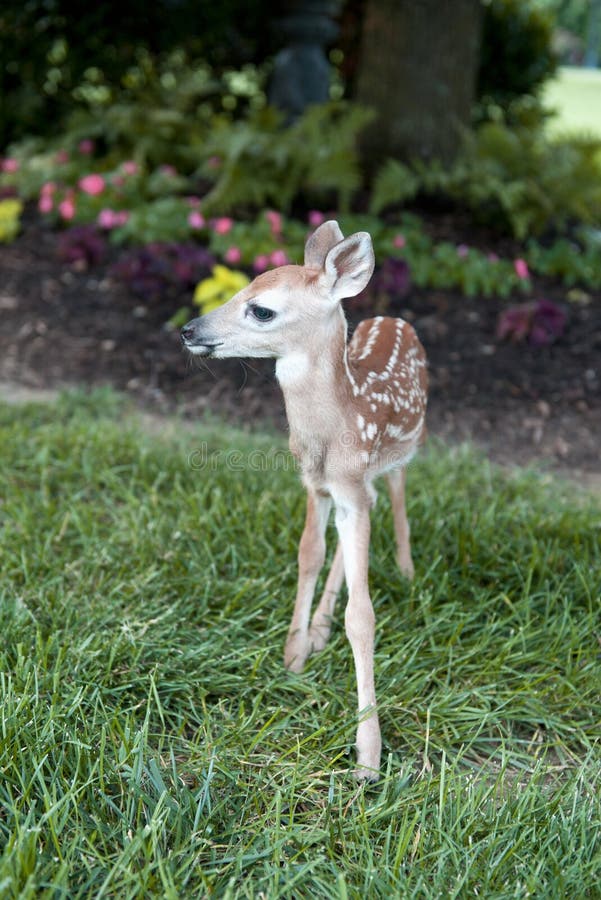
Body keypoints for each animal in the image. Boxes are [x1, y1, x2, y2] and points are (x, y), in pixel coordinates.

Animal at [181, 221, 428, 780]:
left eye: (261, 309)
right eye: (239, 289)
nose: (188, 330)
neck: (334, 427)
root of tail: (392, 316)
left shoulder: (351, 483)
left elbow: (363, 616)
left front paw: (368, 754)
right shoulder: (313, 482)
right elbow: (309, 554)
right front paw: (295, 652)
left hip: (404, 449)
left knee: (397, 491)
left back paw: (406, 569)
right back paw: (320, 626)